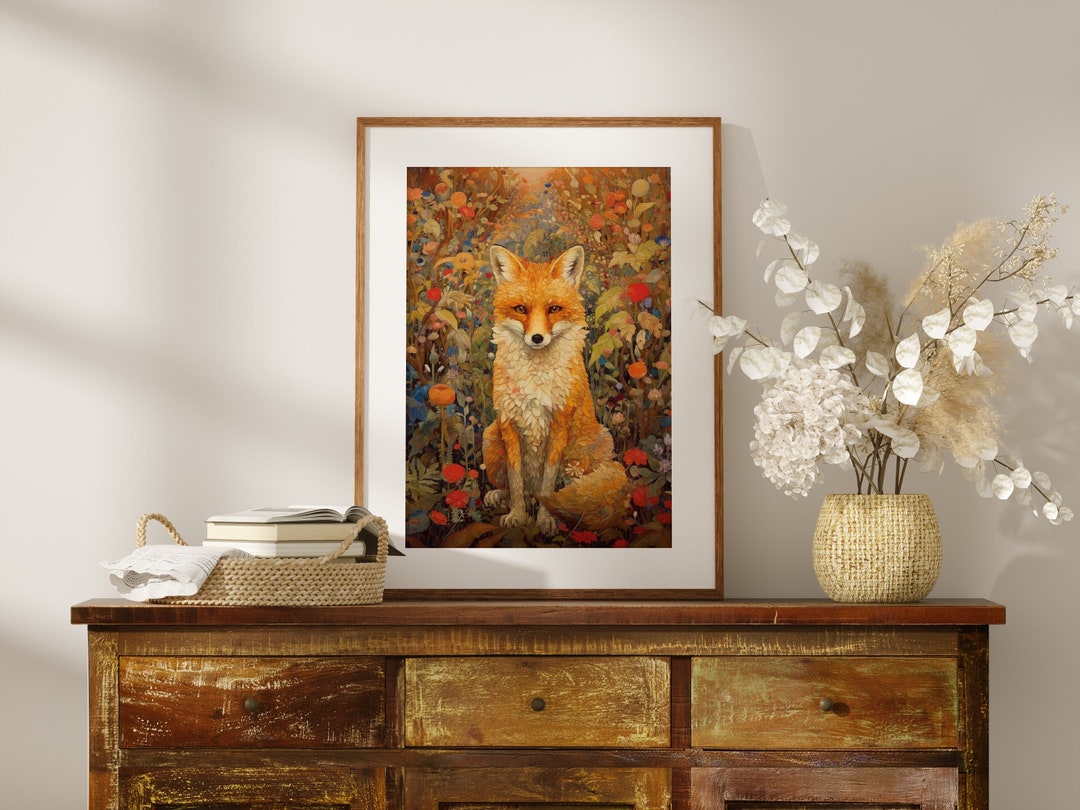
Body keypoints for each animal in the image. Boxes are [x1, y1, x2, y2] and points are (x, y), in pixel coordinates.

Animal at [482, 243, 628, 536]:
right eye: (521, 309)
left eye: (554, 309)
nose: (537, 338)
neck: (536, 380)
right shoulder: (509, 423)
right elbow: (515, 480)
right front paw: (517, 515)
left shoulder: (559, 422)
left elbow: (548, 485)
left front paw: (545, 520)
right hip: (490, 437)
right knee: (516, 488)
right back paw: (499, 496)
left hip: (598, 443)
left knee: (574, 491)